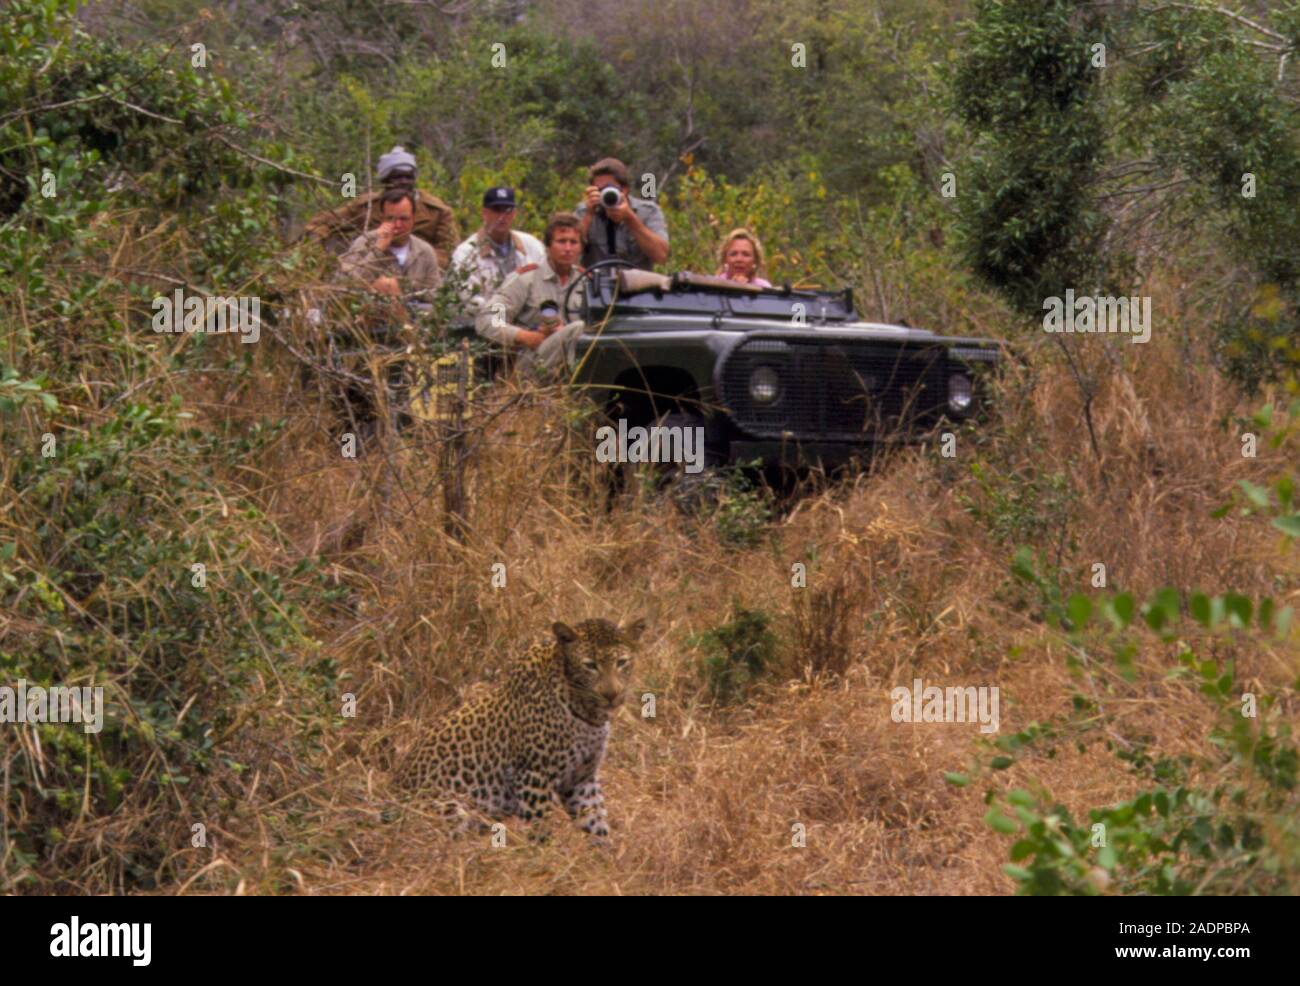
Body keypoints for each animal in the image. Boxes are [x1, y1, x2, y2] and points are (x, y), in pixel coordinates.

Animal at [395, 617, 646, 840]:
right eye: (590, 666)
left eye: (622, 662)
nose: (612, 695)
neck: (587, 713)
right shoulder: (533, 778)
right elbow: (541, 830)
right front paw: (547, 858)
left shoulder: (581, 780)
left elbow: (597, 823)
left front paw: (607, 859)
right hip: (450, 809)